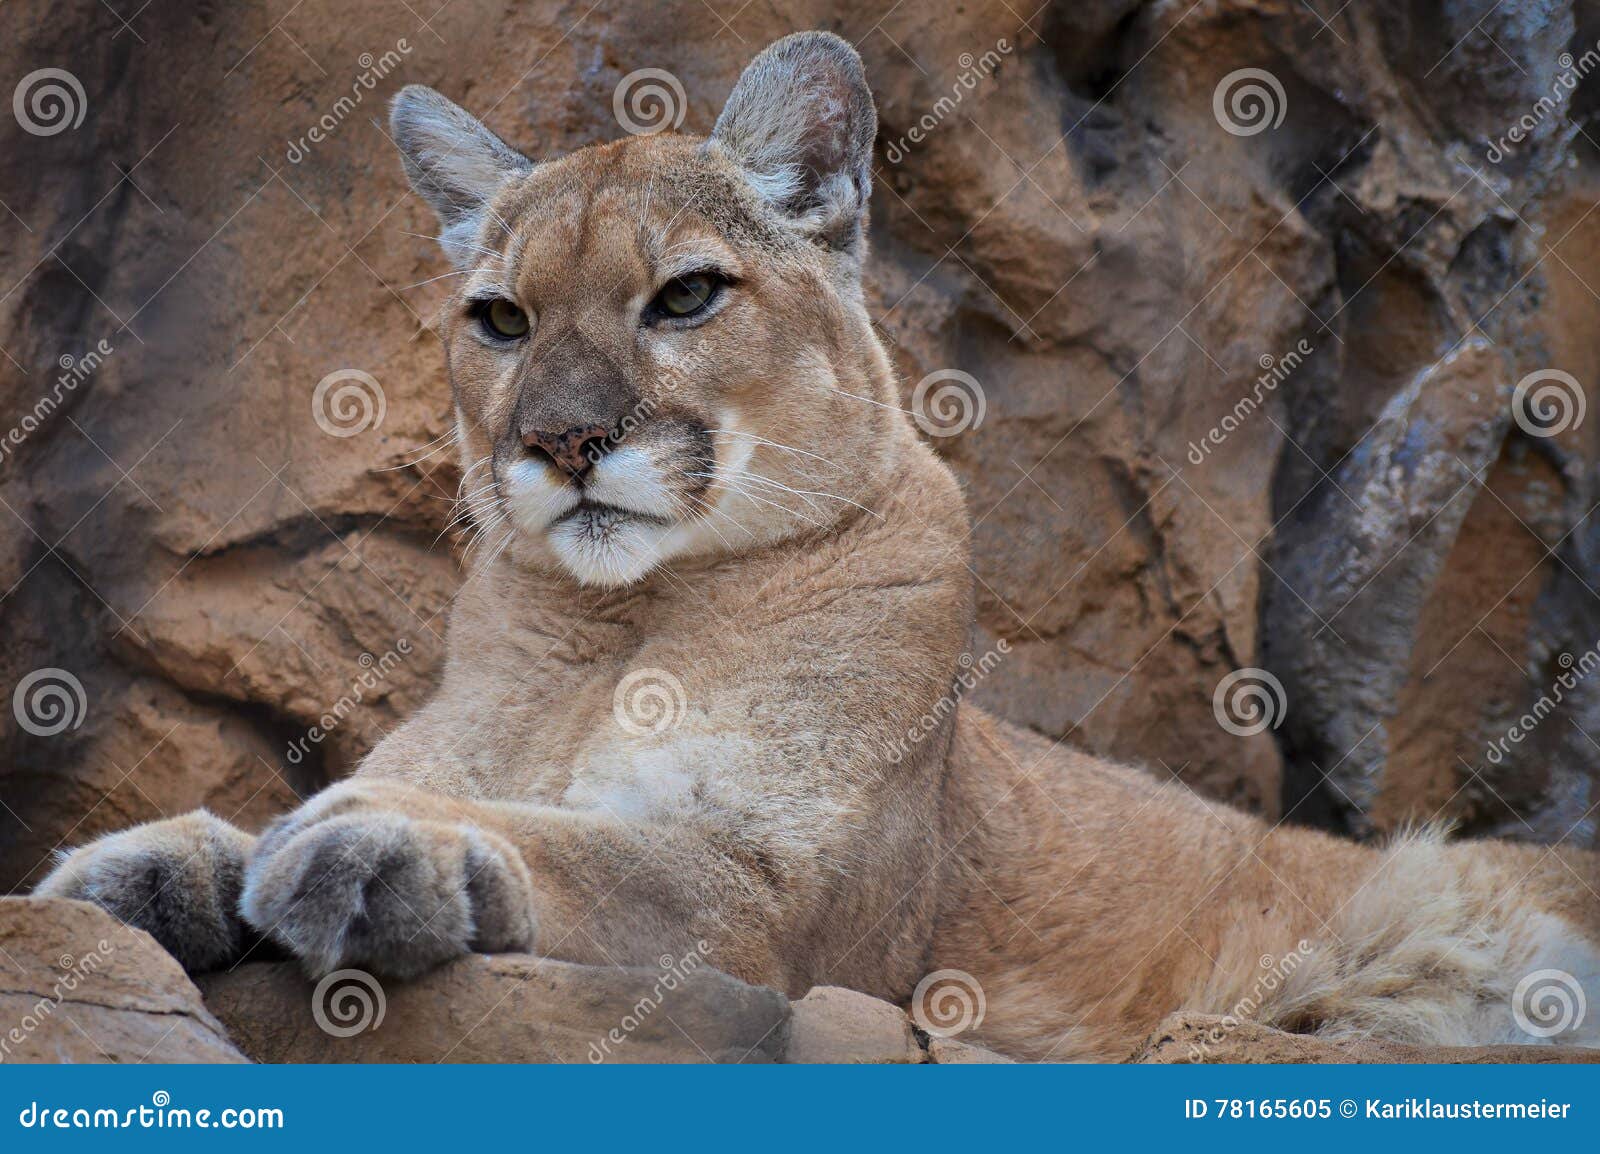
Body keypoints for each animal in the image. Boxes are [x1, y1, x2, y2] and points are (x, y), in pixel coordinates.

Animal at [38, 32, 1599, 1061]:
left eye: (684, 296)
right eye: (499, 319)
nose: (561, 439)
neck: (620, 625)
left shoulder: (785, 904)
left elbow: (608, 854)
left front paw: (382, 841)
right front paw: (149, 860)